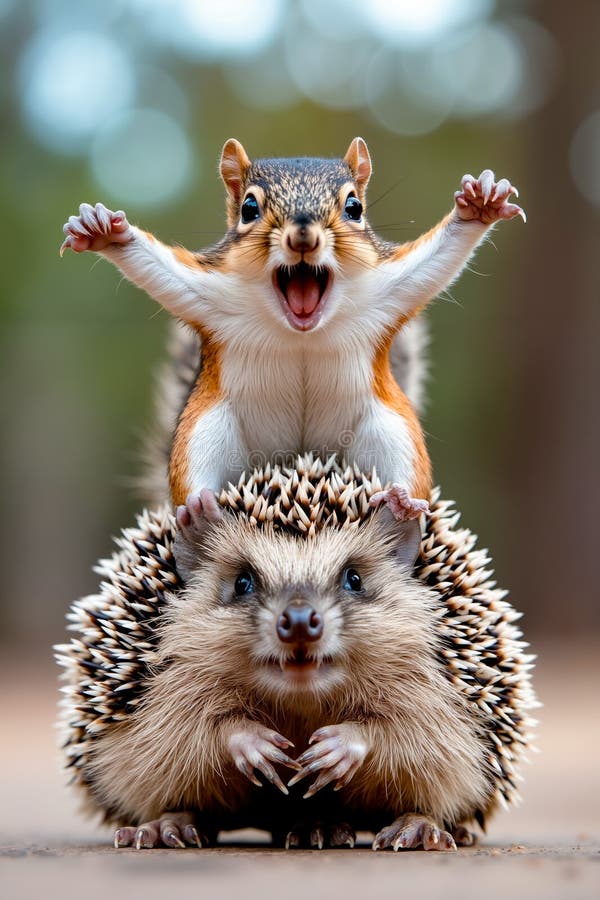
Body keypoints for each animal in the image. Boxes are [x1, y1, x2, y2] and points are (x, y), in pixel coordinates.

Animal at [60, 138, 525, 521]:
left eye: (354, 208)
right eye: (249, 209)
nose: (303, 234)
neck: (301, 330)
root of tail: (298, 459)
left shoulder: (388, 290)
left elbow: (436, 261)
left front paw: (479, 205)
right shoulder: (208, 294)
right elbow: (159, 270)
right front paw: (104, 230)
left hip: (391, 432)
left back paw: (401, 499)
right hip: (203, 432)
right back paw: (197, 503)